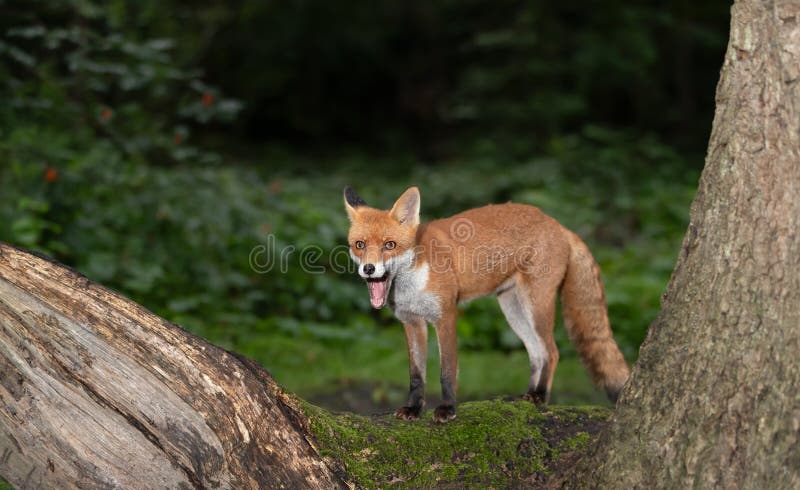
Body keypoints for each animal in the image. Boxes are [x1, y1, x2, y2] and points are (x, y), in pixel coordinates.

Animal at [343, 185, 630, 423]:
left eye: (389, 245)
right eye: (360, 245)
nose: (369, 269)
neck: (412, 281)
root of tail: (557, 223)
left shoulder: (445, 315)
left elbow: (447, 371)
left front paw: (448, 409)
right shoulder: (412, 322)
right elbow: (416, 375)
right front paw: (414, 408)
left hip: (535, 306)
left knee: (552, 351)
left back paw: (540, 397)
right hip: (513, 310)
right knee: (537, 353)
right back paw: (529, 395)